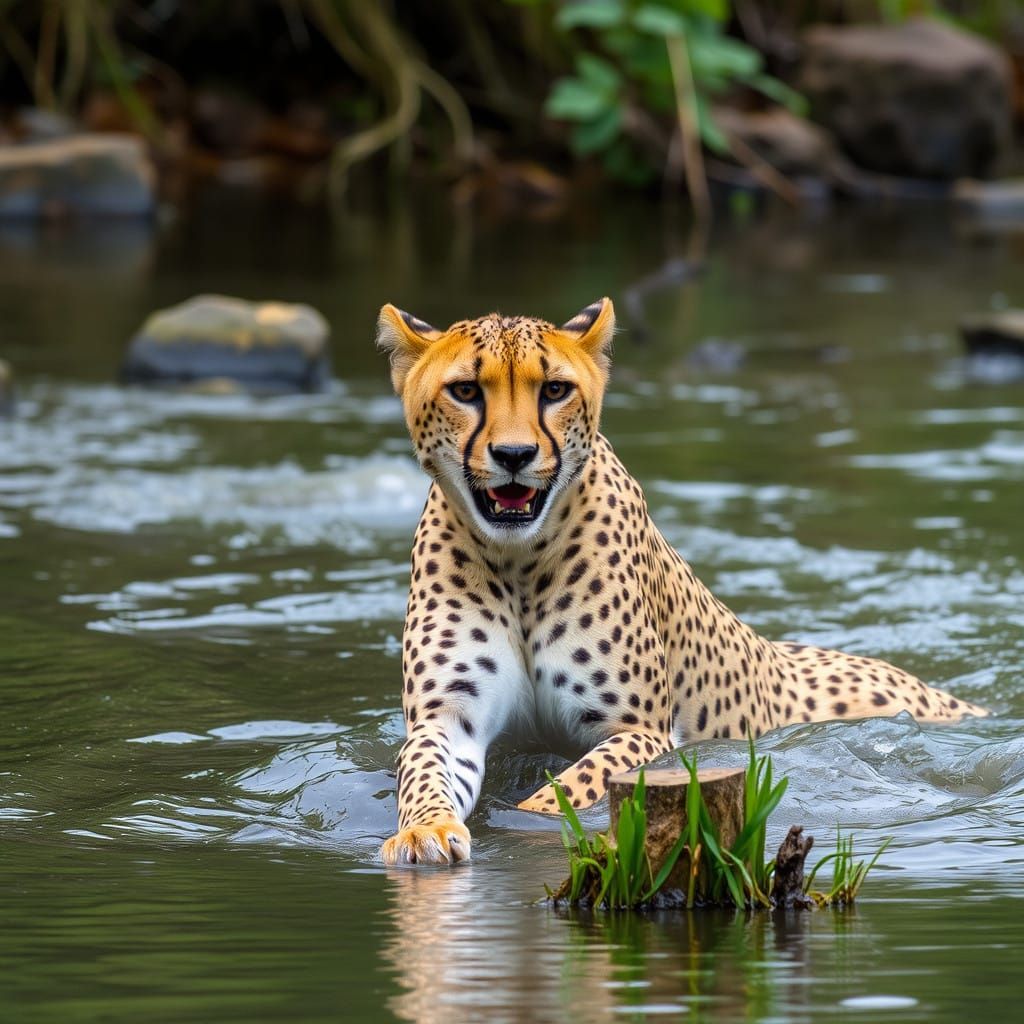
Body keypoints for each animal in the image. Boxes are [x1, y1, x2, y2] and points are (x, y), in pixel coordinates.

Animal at [375, 297, 988, 865]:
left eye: (553, 390)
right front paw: (425, 832)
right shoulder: (447, 718)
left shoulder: (638, 732)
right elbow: (423, 776)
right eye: (465, 391)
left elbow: (562, 794)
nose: (514, 454)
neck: (517, 558)